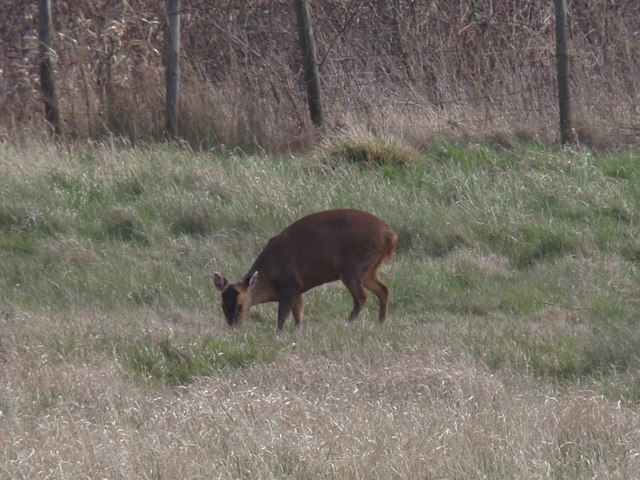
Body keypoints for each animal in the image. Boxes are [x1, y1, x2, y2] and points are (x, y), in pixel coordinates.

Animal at [213, 209, 398, 334]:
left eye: (240, 305)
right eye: (222, 305)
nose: (233, 327)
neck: (269, 278)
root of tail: (390, 236)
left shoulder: (290, 285)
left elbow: (282, 317)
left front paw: (279, 335)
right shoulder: (298, 290)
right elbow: (298, 317)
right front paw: (298, 333)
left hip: (353, 267)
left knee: (361, 297)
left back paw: (347, 324)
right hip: (368, 269)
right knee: (383, 289)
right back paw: (381, 322)